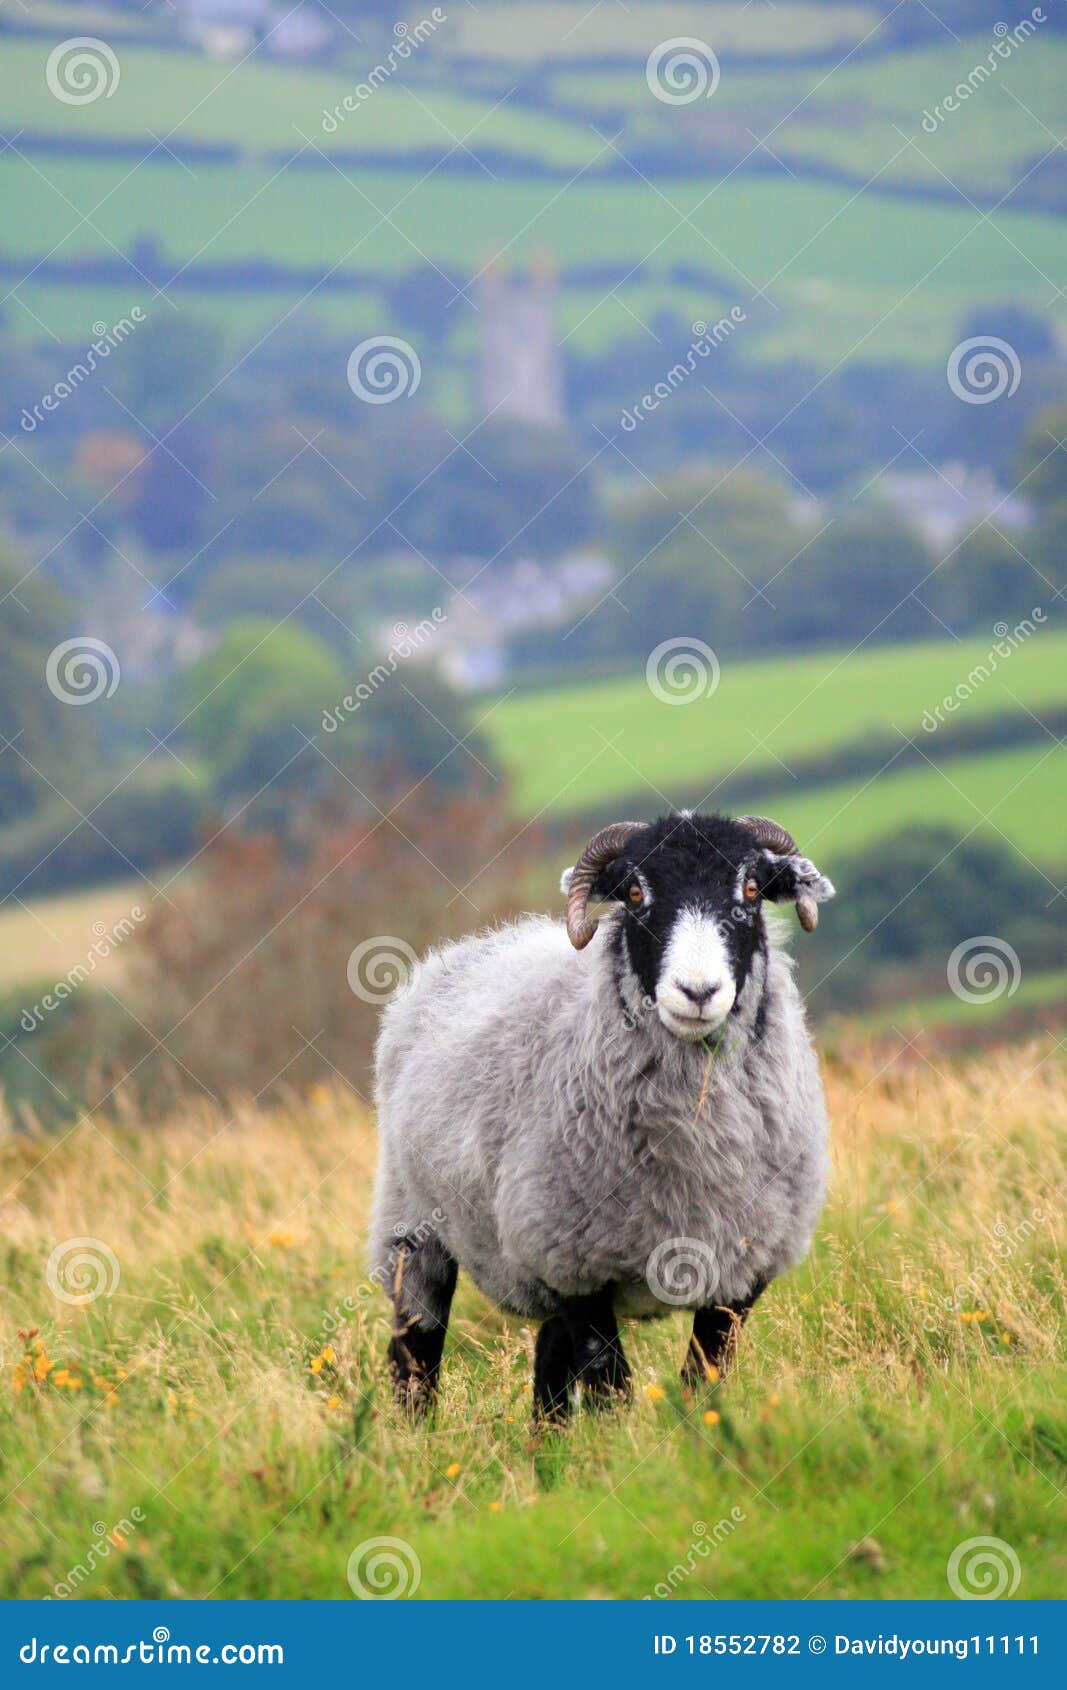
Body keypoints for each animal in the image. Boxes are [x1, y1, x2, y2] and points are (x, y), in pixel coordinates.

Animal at [369, 811, 835, 1420]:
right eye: (635, 893)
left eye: (752, 890)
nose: (698, 991)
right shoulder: (574, 1267)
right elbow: (612, 1385)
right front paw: (620, 1444)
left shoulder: (743, 1273)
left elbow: (701, 1379)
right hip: (412, 1229)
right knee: (415, 1356)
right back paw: (417, 1436)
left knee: (547, 1371)